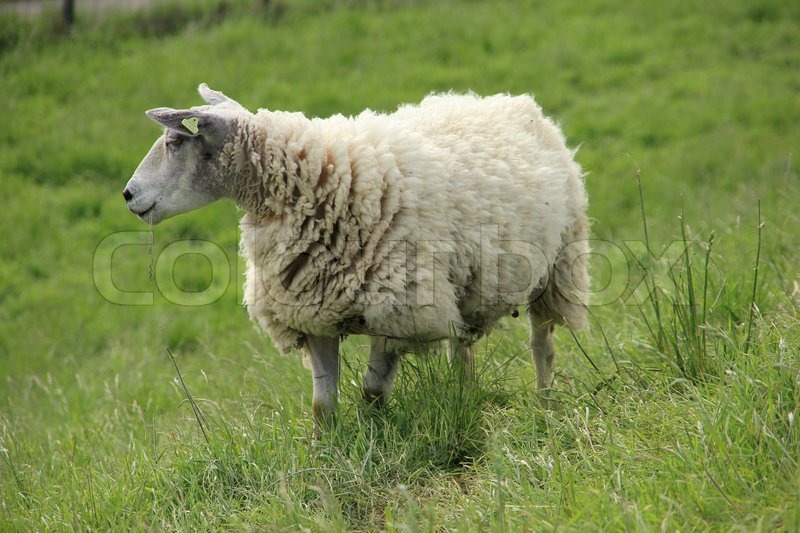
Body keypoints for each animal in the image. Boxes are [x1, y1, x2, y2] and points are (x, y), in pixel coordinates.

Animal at [124, 83, 590, 430]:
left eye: (173, 141)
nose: (128, 195)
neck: (316, 180)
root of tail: (512, 102)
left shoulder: (397, 311)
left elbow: (372, 394)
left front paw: (375, 441)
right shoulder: (311, 315)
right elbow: (322, 408)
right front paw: (326, 455)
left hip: (558, 265)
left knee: (542, 344)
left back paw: (544, 404)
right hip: (464, 287)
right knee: (462, 350)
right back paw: (465, 396)